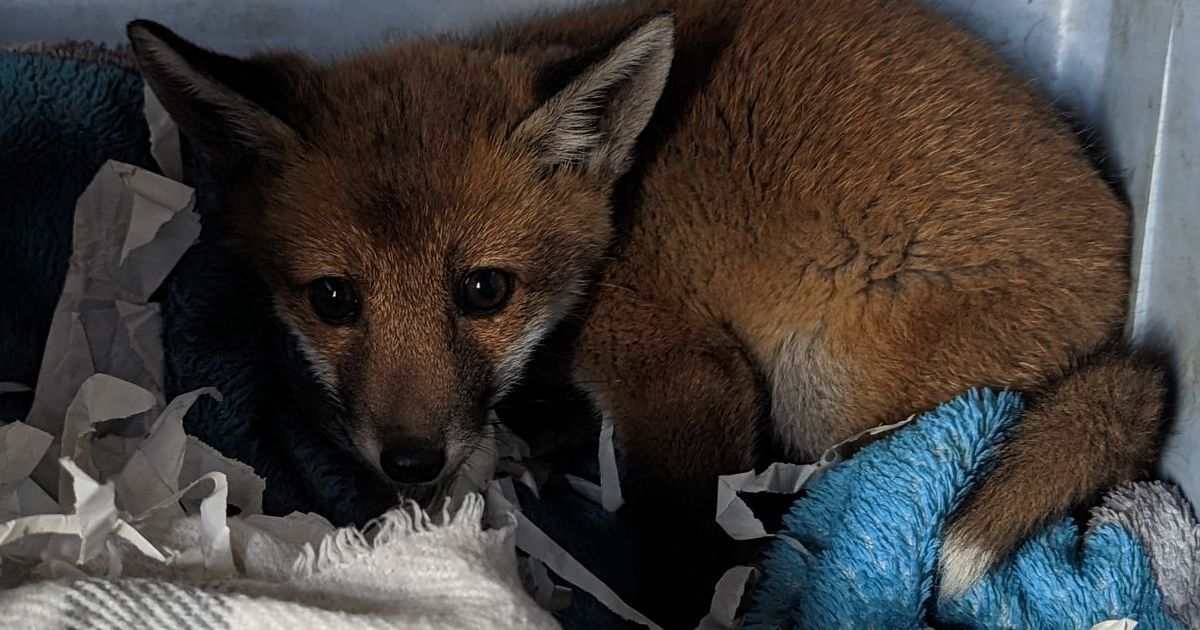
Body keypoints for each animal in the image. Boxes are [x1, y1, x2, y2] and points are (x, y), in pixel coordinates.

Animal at [126, 0, 1168, 624]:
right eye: (334, 299)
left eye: (484, 290)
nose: (411, 462)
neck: (616, 215)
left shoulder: (687, 379)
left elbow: (684, 543)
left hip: (828, 389)